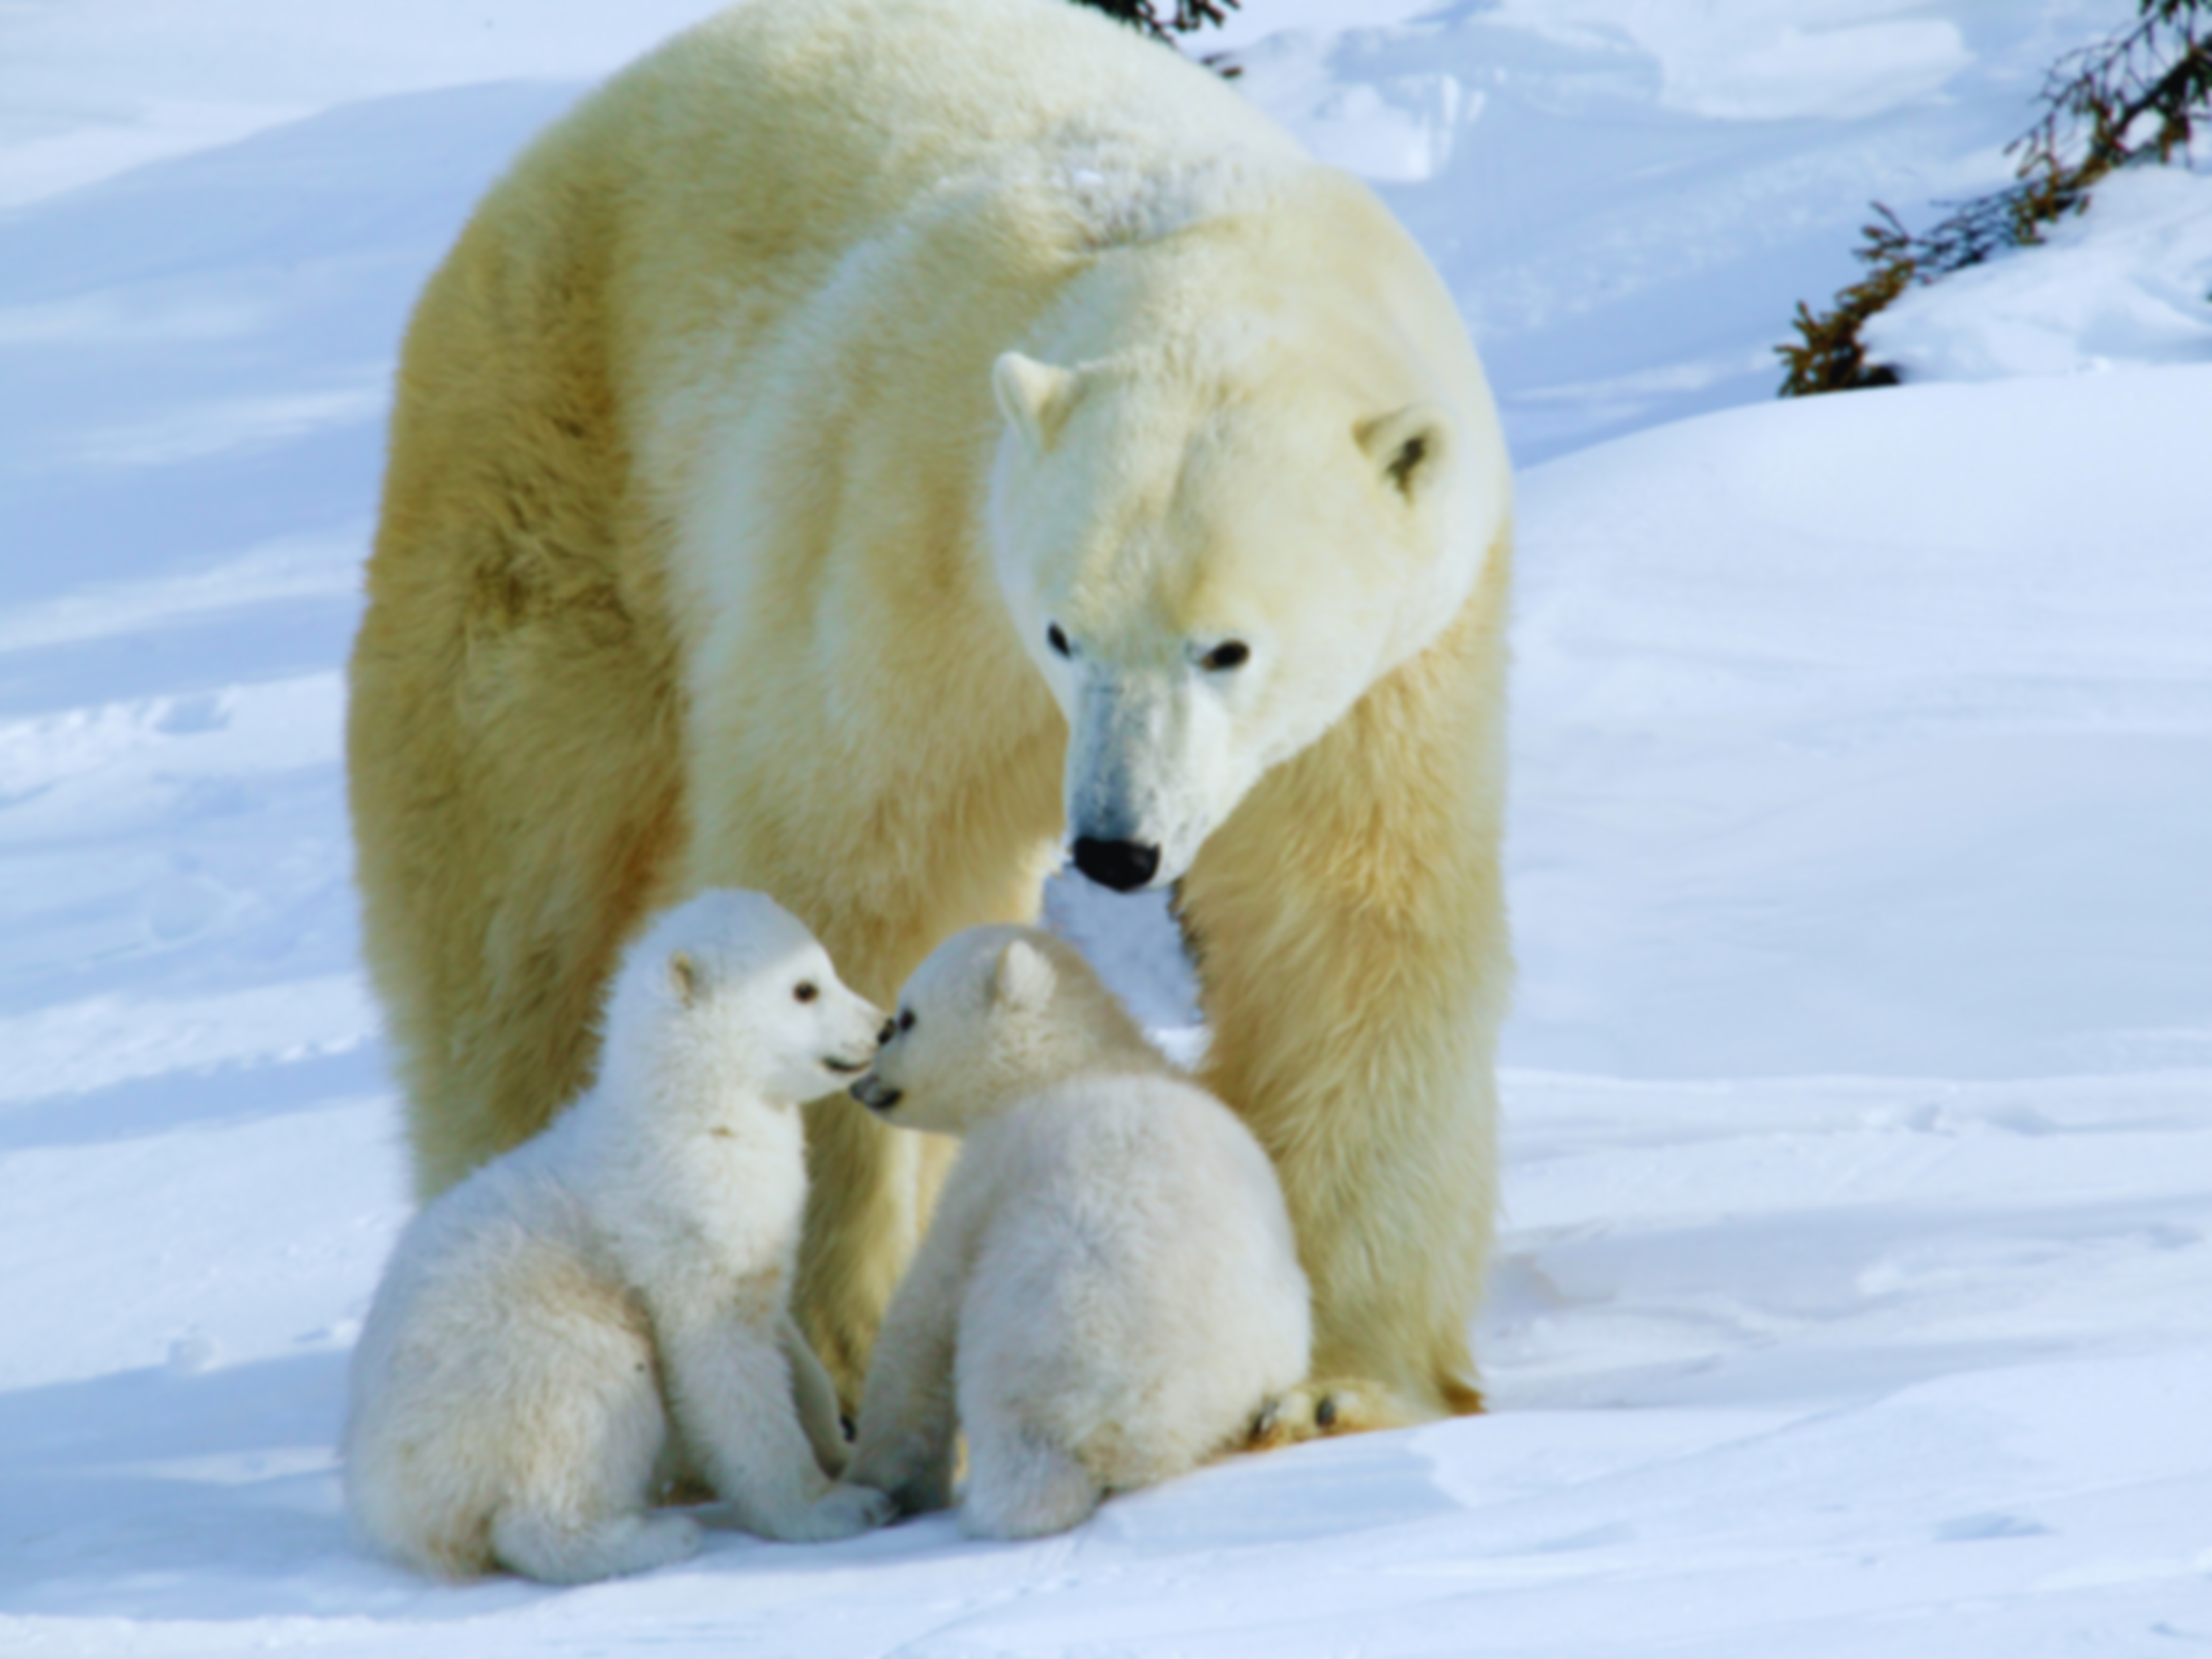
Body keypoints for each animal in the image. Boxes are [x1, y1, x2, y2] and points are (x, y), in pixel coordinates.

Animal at [342, 890, 897, 1583]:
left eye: (825, 967)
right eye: (804, 988)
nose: (884, 1025)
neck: (693, 1116)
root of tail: (389, 1503)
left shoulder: (755, 1231)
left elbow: (785, 1339)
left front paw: (841, 1445)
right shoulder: (683, 1224)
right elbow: (723, 1365)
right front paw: (832, 1507)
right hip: (521, 1358)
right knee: (582, 1415)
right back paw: (653, 1537)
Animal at [346, 0, 1513, 1428]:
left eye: (1227, 648)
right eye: (1065, 630)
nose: (1116, 847)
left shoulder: (1394, 676)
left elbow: (1347, 927)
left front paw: (1339, 1381)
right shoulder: (911, 542)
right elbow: (851, 875)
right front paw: (839, 1348)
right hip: (555, 463)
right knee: (516, 898)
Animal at [842, 925, 1312, 1538]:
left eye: (906, 1017)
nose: (862, 1084)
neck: (1081, 1059)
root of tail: (1145, 1432)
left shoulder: (997, 1164)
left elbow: (924, 1316)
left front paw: (884, 1481)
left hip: (1044, 1341)